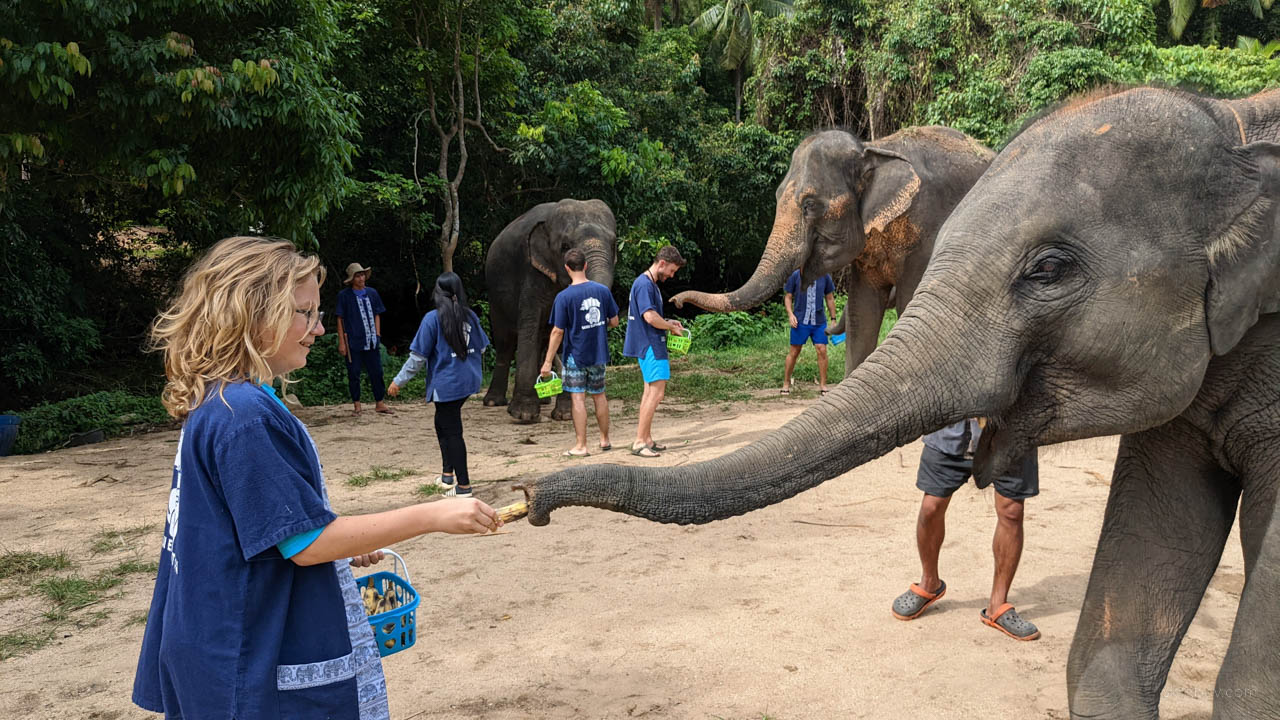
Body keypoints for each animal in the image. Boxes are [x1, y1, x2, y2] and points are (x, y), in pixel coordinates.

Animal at [482, 199, 617, 423]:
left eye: (614, 244)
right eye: (565, 247)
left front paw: (566, 415)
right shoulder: (531, 273)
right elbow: (529, 326)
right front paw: (524, 415)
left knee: (542, 342)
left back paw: (544, 400)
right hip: (495, 297)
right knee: (505, 343)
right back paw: (493, 402)